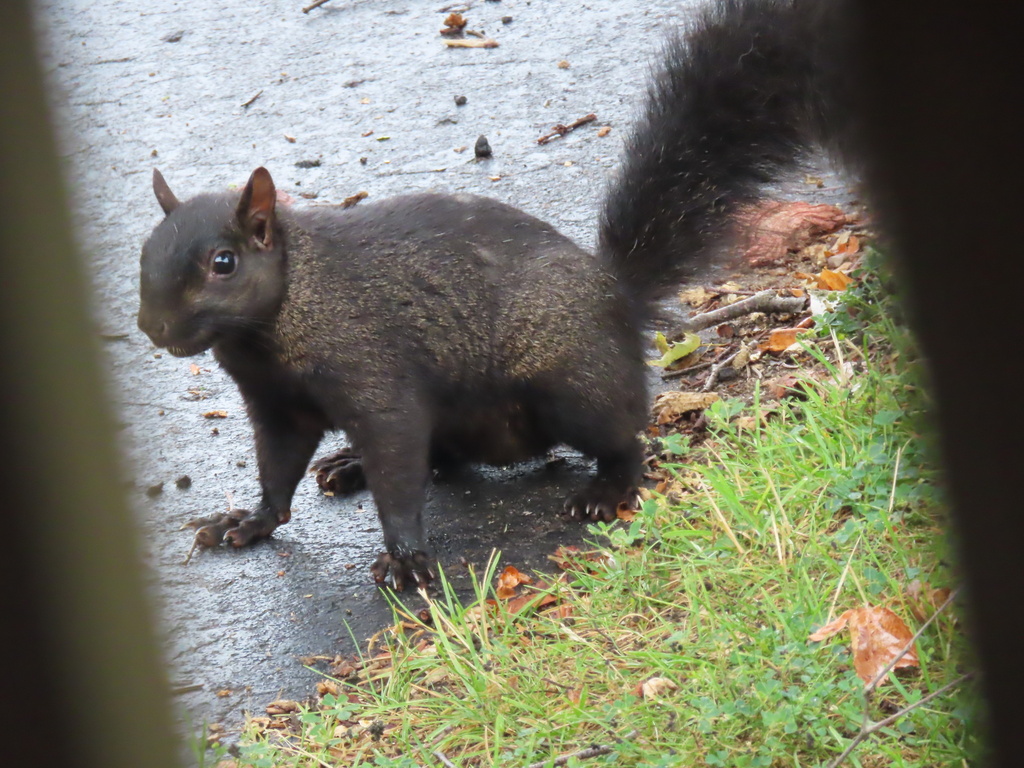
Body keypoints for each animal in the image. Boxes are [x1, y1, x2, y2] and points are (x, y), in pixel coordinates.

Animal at [138, 0, 852, 589]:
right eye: (143, 253)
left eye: (224, 263)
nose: (153, 327)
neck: (281, 318)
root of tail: (617, 296)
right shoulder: (275, 406)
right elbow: (277, 471)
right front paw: (251, 521)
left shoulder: (377, 377)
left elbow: (397, 468)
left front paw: (405, 559)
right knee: (446, 457)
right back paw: (346, 465)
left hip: (567, 381)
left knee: (622, 432)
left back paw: (606, 486)